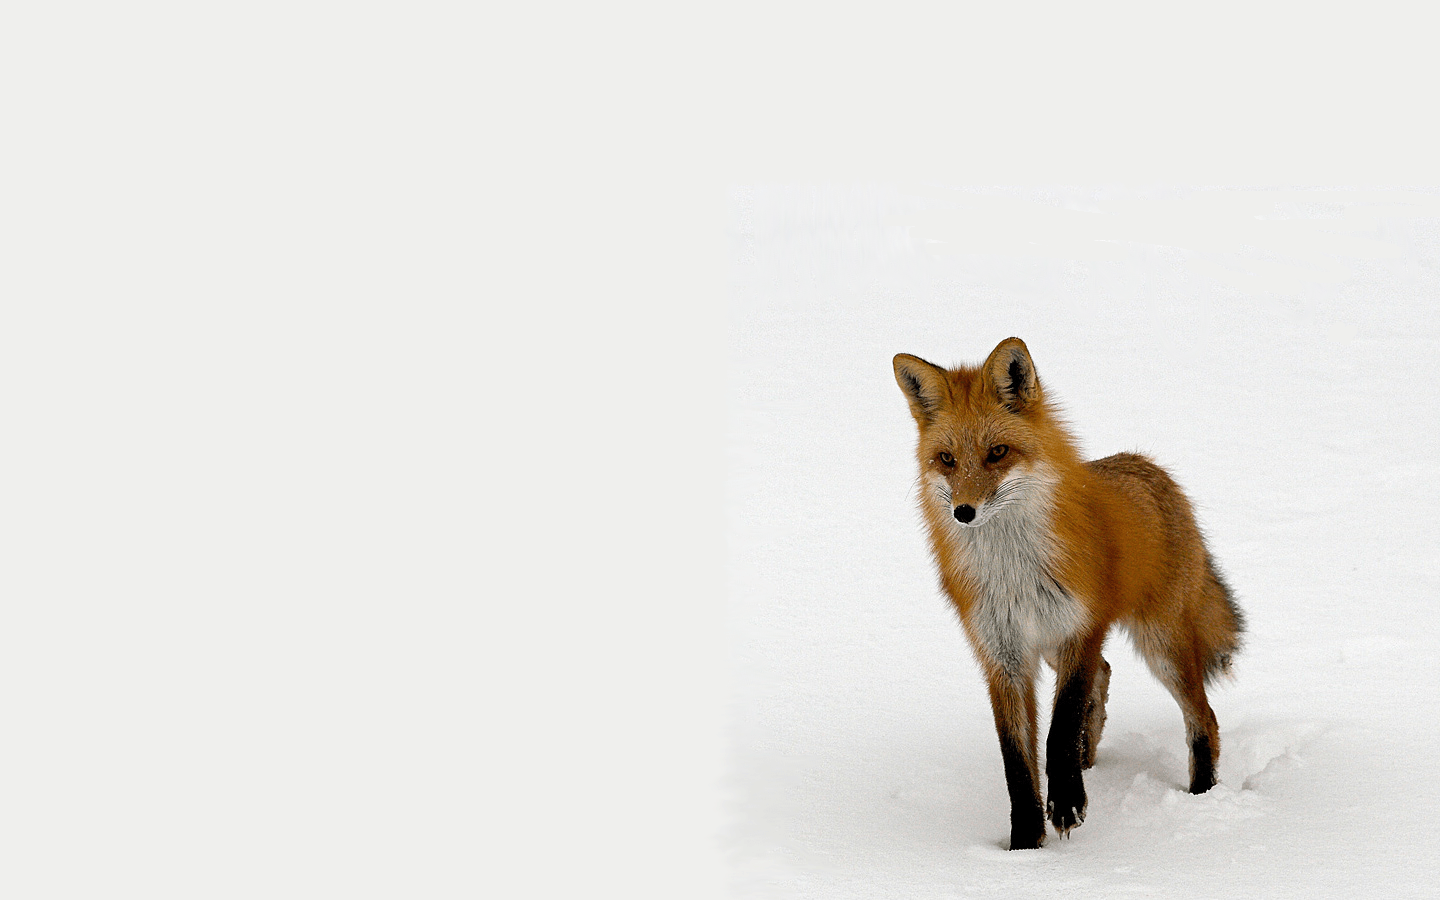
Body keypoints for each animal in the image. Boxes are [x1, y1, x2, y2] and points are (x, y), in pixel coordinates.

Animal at [892, 337, 1244, 850]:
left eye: (998, 452)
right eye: (947, 459)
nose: (964, 512)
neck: (1014, 571)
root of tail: (1148, 466)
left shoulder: (1081, 627)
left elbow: (1060, 728)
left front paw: (1065, 805)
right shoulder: (1003, 655)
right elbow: (1016, 758)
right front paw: (1023, 844)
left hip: (1161, 646)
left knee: (1204, 717)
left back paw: (1201, 796)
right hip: (1061, 650)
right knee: (1106, 673)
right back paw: (1087, 759)